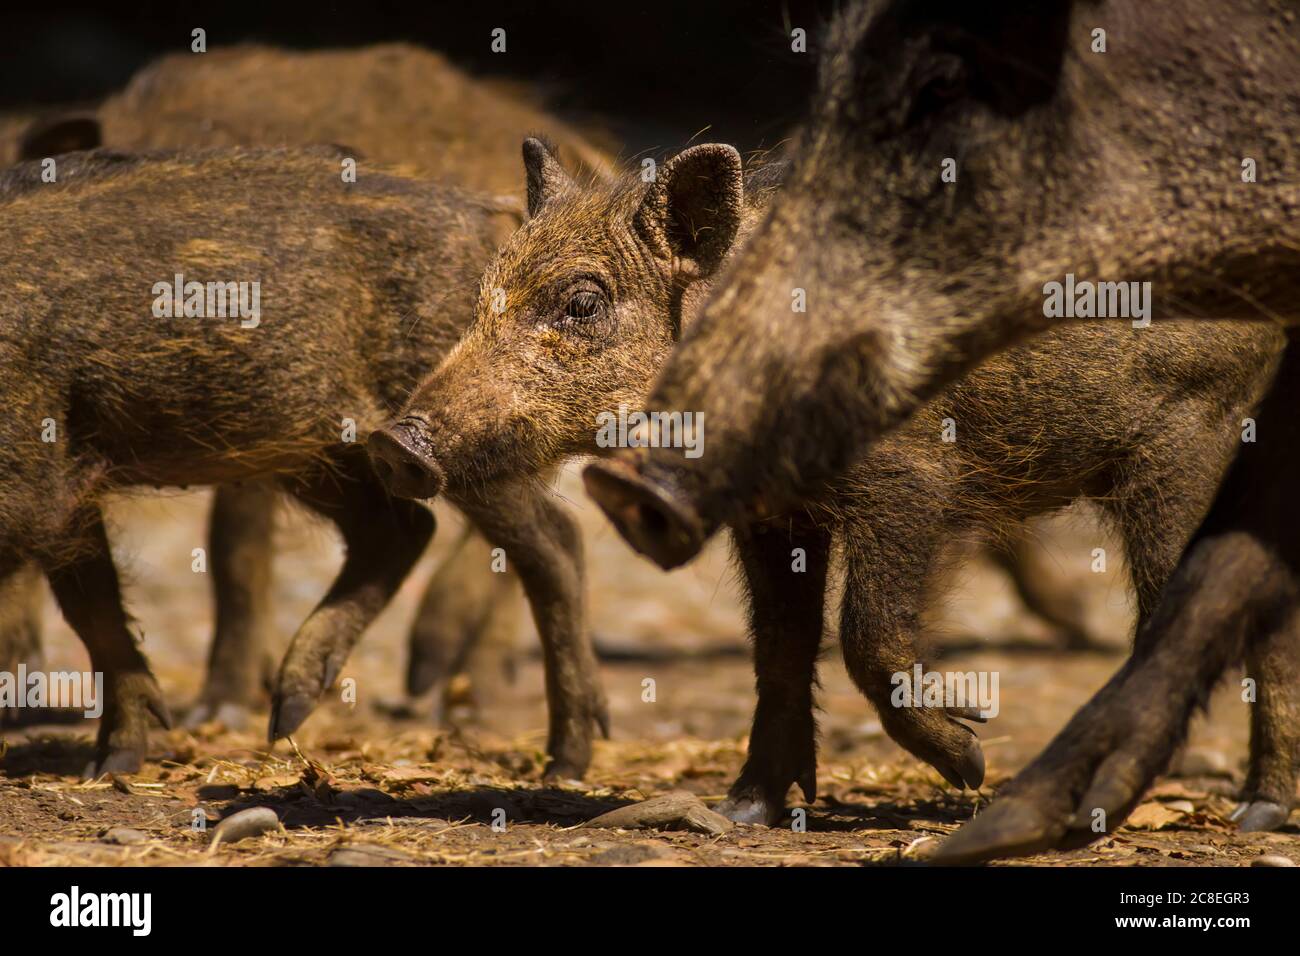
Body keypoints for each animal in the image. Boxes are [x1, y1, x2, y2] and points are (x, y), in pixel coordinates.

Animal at [367, 139, 1283, 823]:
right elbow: (778, 647)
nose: (393, 441)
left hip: (1191, 447)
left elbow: (865, 634)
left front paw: (973, 757)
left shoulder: (913, 482)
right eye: (485, 294)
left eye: (583, 302)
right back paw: (1260, 811)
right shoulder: (773, 519)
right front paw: (744, 813)